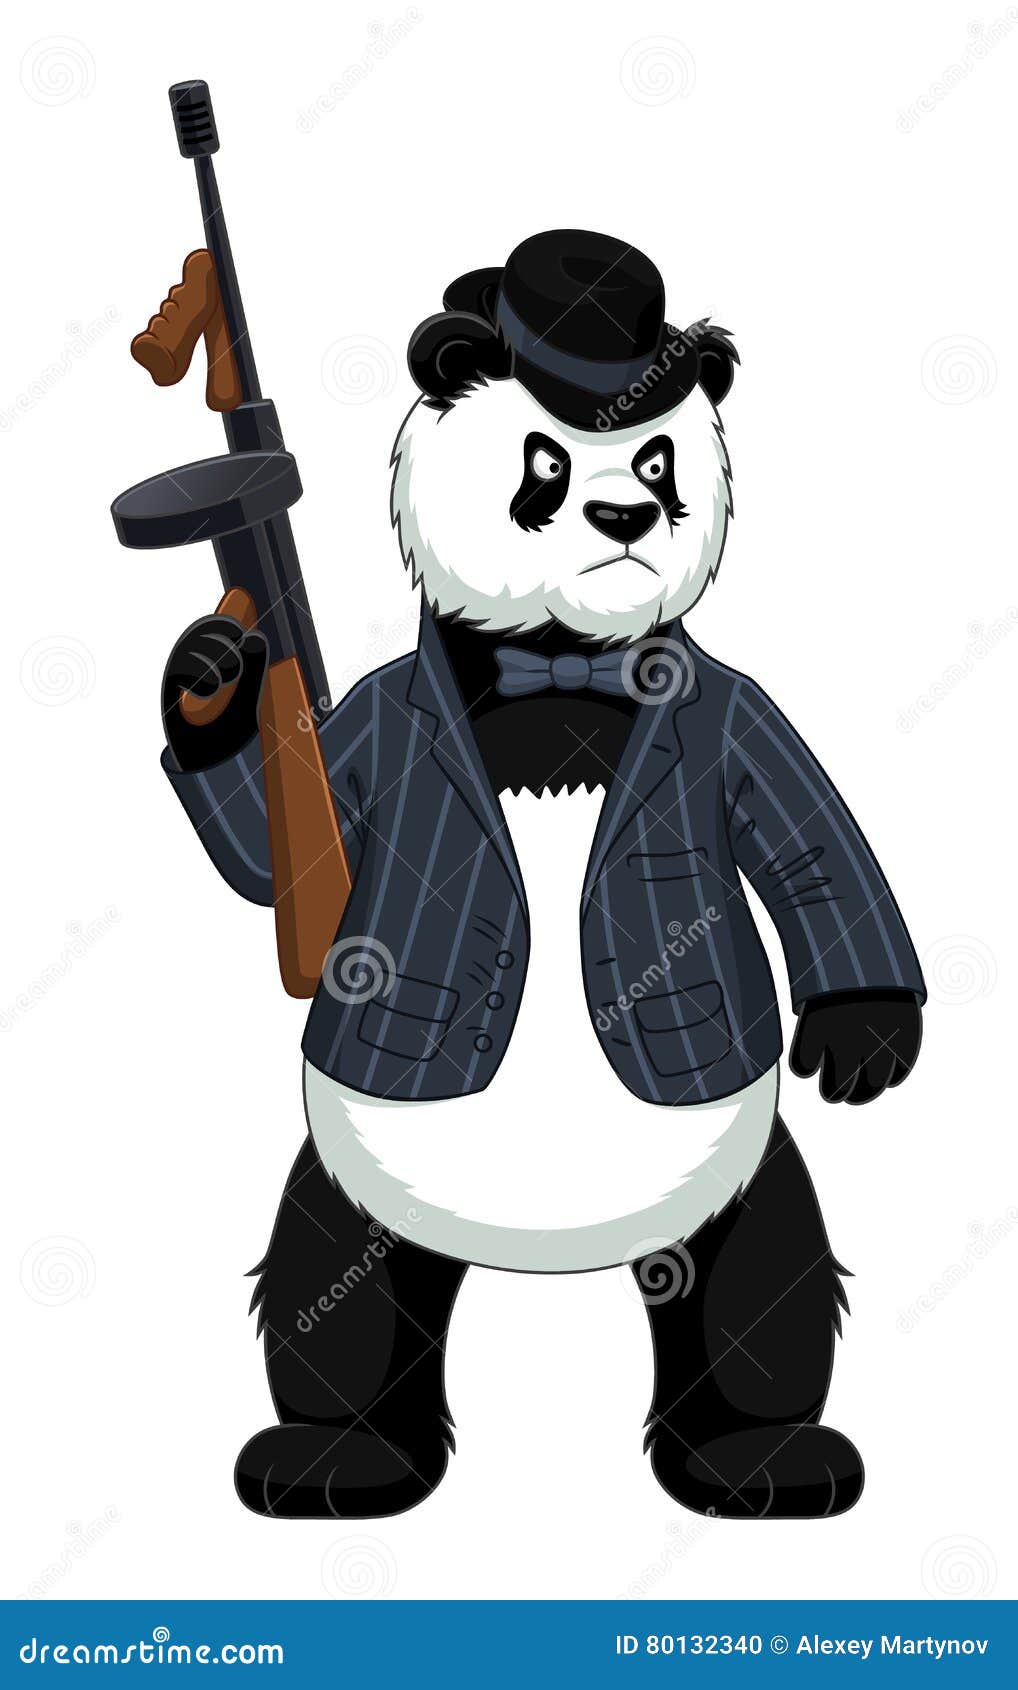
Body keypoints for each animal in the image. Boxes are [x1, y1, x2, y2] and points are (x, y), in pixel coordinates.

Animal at [161, 229, 925, 1521]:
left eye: (657, 456)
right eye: (548, 460)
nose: (623, 510)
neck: (559, 663)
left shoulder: (734, 719)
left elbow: (814, 844)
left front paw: (864, 1032)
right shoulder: (375, 730)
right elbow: (274, 856)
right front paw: (211, 675)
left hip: (730, 1167)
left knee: (757, 1280)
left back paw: (761, 1458)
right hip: (359, 1175)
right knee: (336, 1286)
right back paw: (337, 1457)